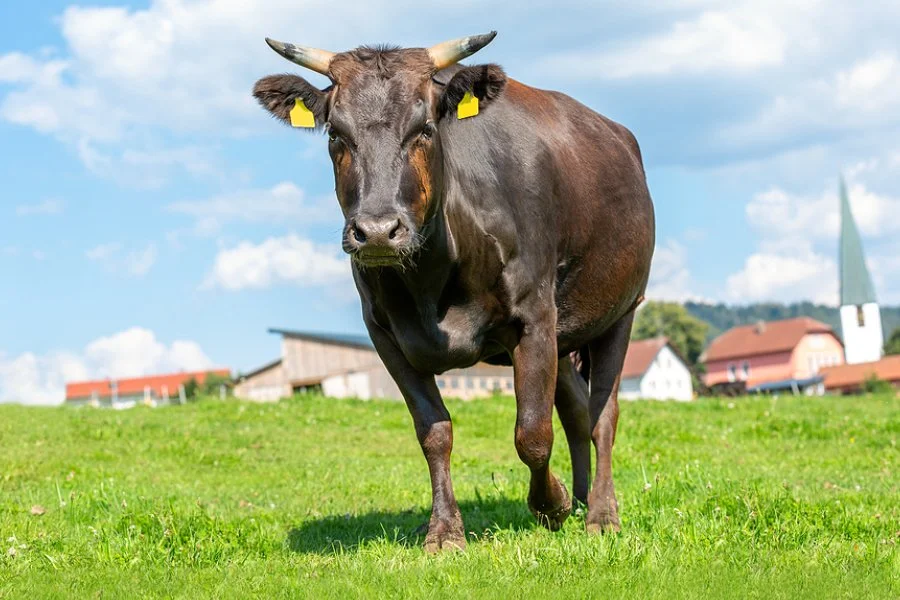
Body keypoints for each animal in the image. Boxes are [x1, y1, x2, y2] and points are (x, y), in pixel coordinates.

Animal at [253, 32, 655, 552]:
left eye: (424, 128)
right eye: (335, 135)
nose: (378, 232)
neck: (432, 284)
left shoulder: (534, 318)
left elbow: (532, 433)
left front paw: (551, 504)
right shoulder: (386, 336)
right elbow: (434, 432)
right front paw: (445, 530)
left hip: (621, 311)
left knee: (604, 413)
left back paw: (601, 513)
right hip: (566, 335)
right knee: (577, 409)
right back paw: (585, 497)